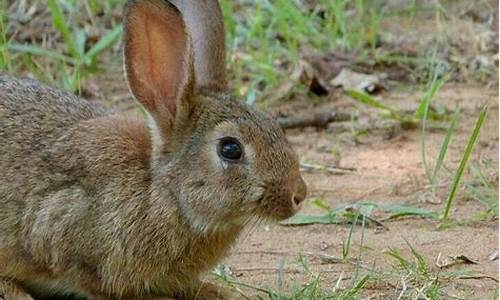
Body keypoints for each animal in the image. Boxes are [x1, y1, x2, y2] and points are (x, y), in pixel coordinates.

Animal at [0, 0, 306, 300]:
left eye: (273, 124)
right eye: (230, 148)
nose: (299, 195)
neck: (164, 193)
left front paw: (215, 291)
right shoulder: (62, 227)